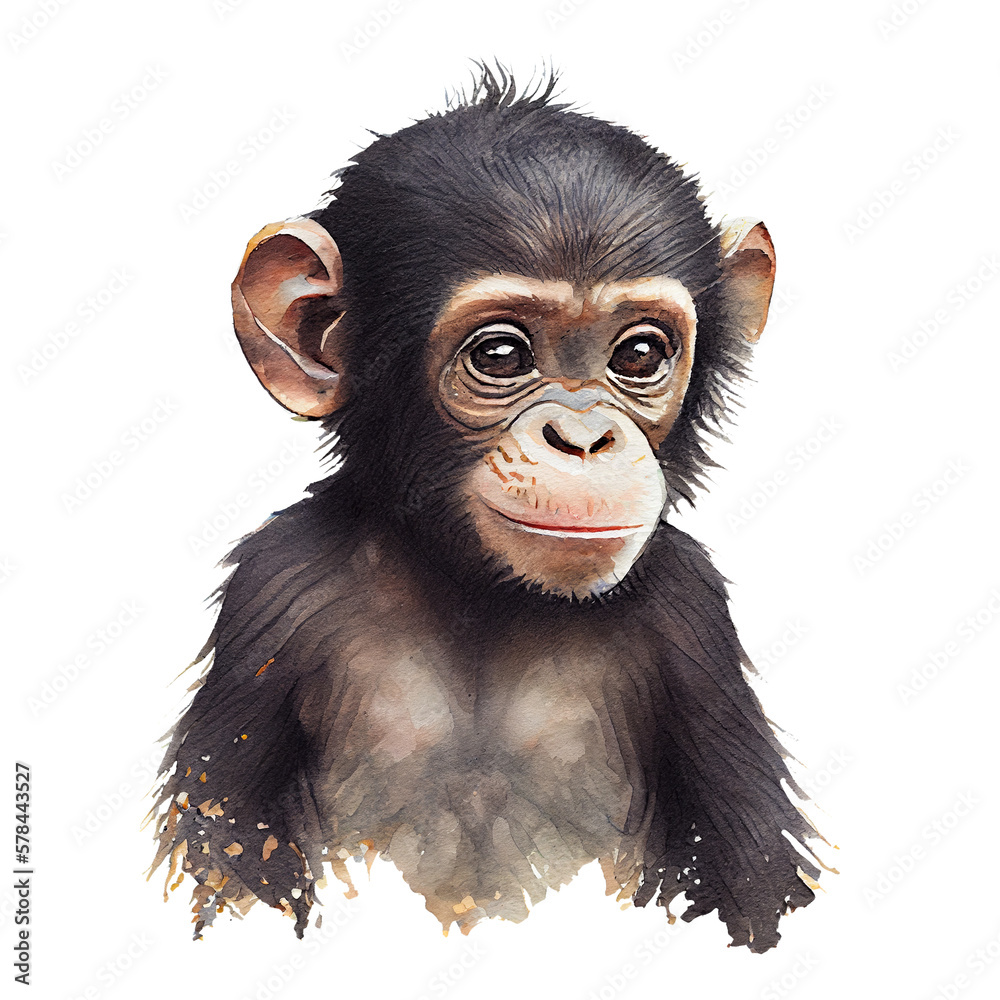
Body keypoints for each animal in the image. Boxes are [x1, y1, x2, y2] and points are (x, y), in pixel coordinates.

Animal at [150, 67, 823, 954]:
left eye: (640, 353)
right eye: (501, 354)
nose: (582, 439)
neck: (479, 592)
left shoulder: (695, 624)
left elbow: (759, 886)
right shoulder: (272, 596)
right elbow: (224, 855)